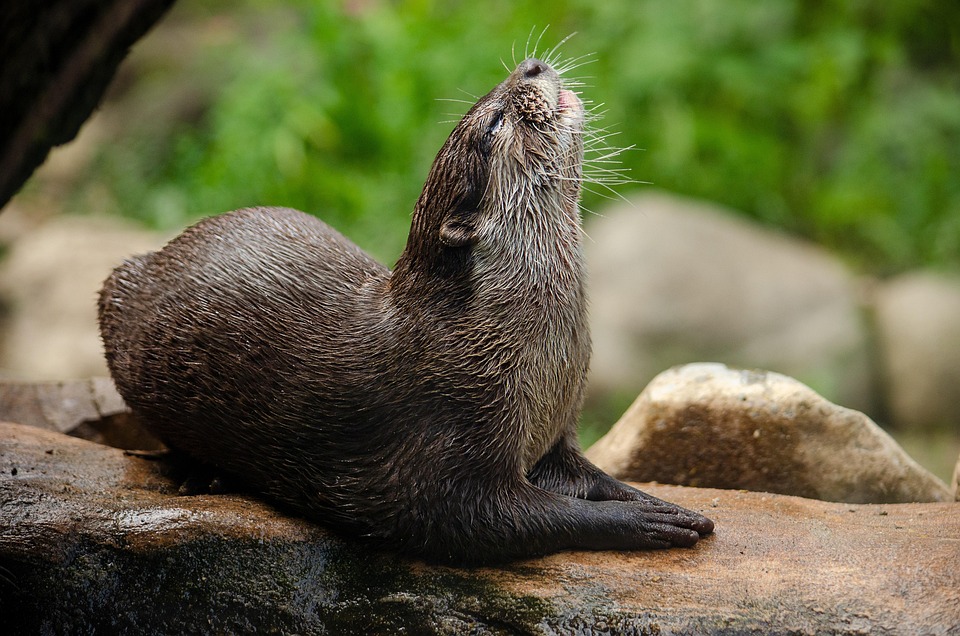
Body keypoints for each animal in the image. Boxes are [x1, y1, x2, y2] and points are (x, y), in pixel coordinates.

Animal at [99, 57, 713, 565]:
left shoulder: (559, 428)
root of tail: (152, 258)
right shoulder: (445, 438)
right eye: (494, 123)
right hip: (118, 299)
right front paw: (643, 520)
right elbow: (482, 521)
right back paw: (200, 475)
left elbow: (588, 475)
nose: (532, 66)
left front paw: (658, 500)